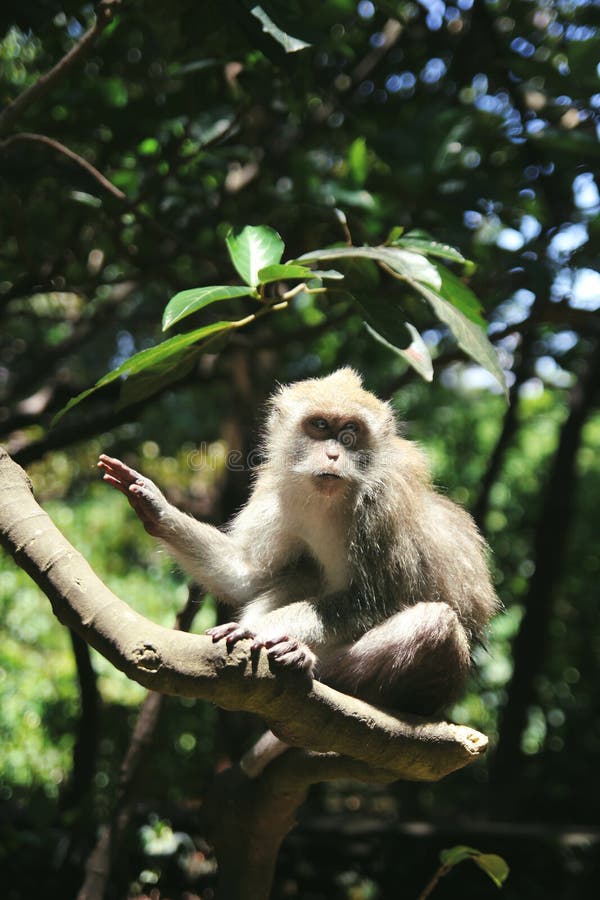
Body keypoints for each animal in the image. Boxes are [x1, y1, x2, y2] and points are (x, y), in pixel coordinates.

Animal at [98, 368, 498, 773]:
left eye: (350, 432)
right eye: (320, 426)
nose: (334, 454)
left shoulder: (384, 505)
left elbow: (378, 599)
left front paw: (256, 630)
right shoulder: (276, 490)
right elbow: (248, 574)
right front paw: (155, 507)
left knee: (435, 624)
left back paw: (308, 664)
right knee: (301, 571)